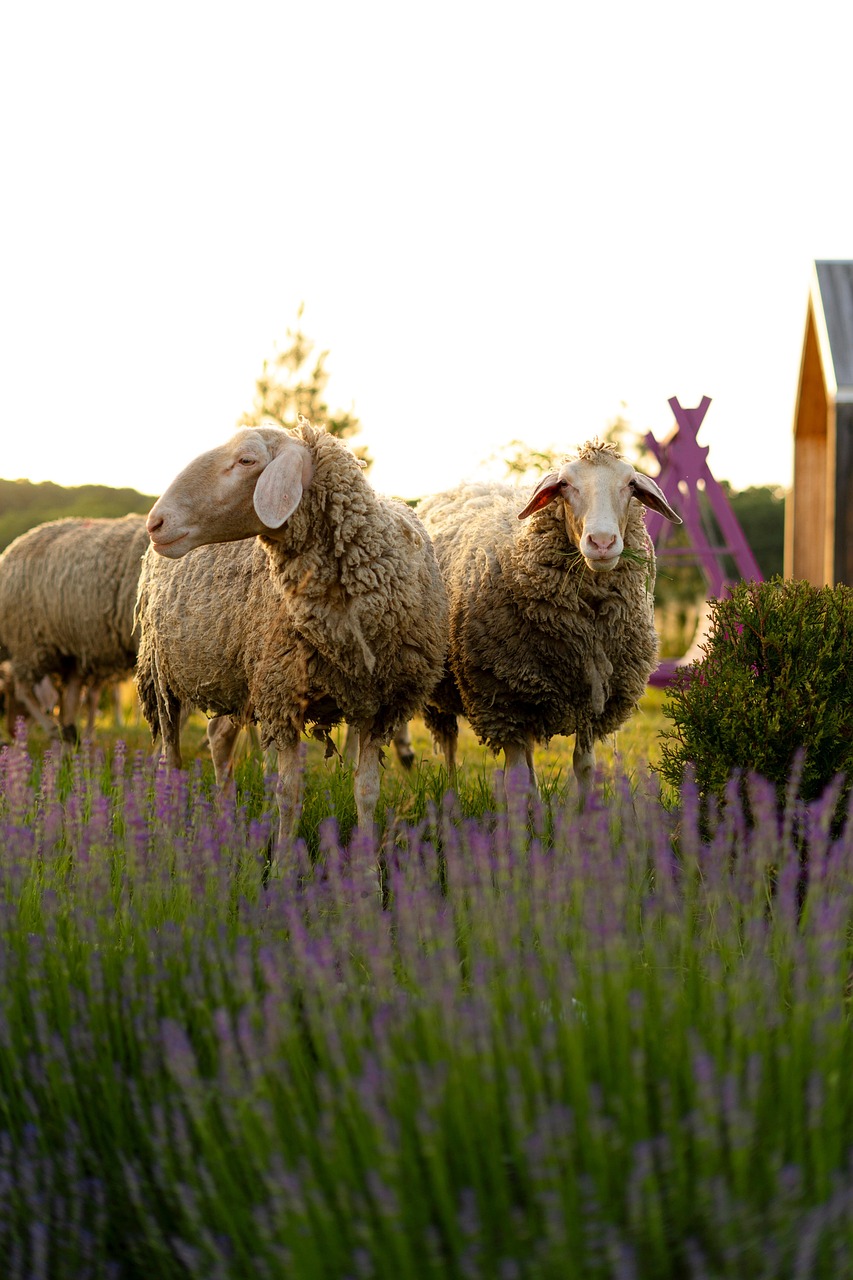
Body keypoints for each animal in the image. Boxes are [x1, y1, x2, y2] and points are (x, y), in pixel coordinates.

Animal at [135, 418, 449, 837]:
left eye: (247, 459)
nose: (156, 523)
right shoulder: (282, 696)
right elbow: (289, 792)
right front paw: (283, 852)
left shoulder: (382, 704)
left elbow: (367, 791)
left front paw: (368, 853)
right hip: (165, 676)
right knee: (170, 759)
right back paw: (170, 827)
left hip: (234, 675)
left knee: (219, 739)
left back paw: (226, 815)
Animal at [416, 440, 681, 796]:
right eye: (565, 484)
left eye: (629, 484)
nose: (602, 542)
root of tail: (459, 487)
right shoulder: (504, 700)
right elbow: (515, 781)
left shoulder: (591, 697)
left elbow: (584, 767)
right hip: (442, 689)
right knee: (449, 744)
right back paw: (451, 795)